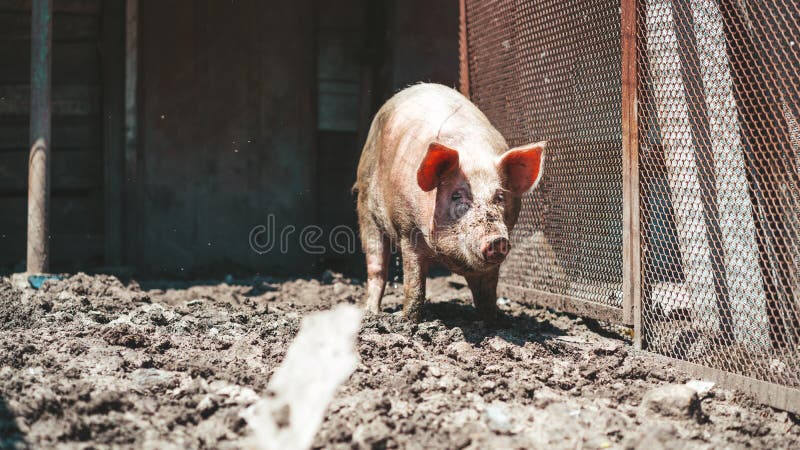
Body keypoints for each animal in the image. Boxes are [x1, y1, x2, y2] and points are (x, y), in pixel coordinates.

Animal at [354, 83, 545, 322]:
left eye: (500, 196)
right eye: (457, 196)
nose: (496, 240)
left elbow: (488, 292)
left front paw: (493, 321)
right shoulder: (407, 230)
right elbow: (414, 285)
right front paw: (406, 320)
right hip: (366, 207)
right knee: (376, 267)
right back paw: (371, 314)